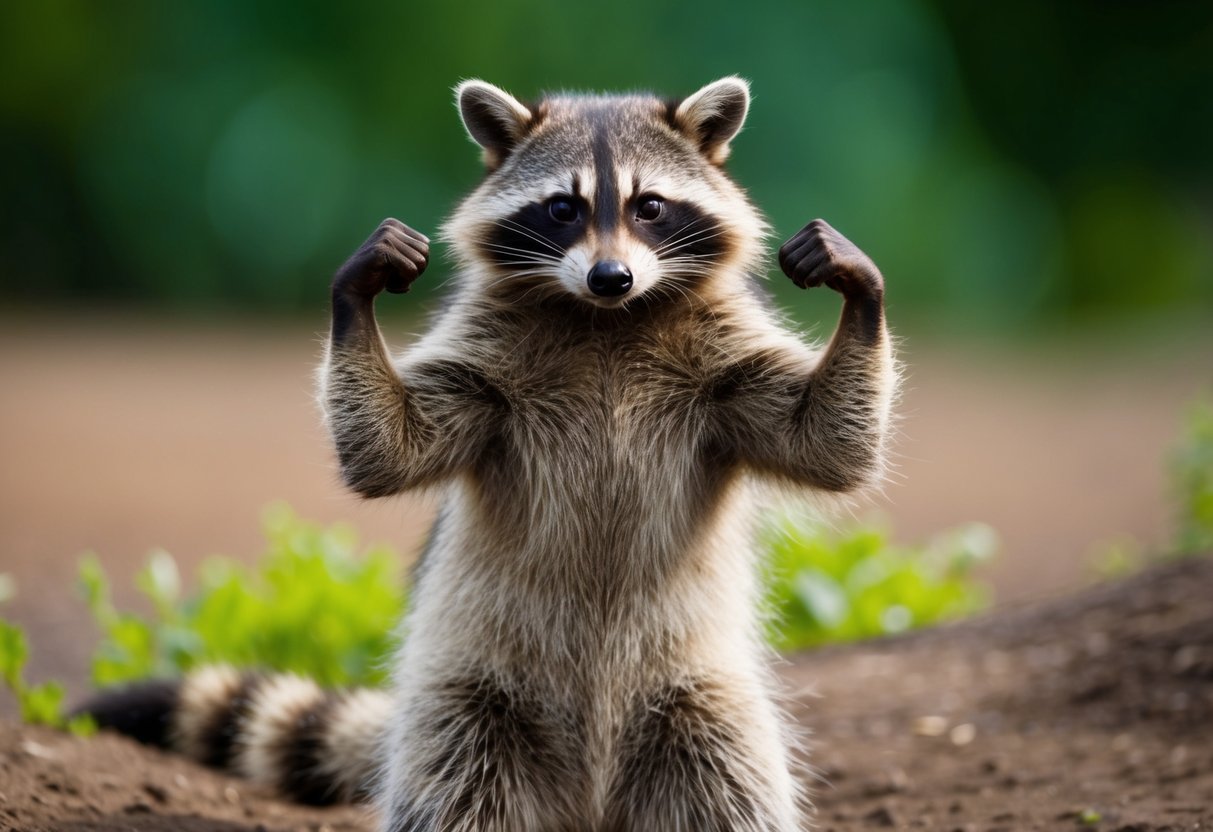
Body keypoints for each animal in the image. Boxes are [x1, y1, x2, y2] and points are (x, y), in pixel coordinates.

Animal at [80, 77, 896, 831]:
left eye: (650, 207)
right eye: (563, 208)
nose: (611, 276)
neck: (606, 321)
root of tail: (586, 809)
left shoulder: (723, 354)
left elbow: (827, 443)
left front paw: (862, 288)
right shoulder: (486, 353)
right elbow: (388, 450)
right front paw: (354, 293)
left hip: (699, 699)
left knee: (728, 784)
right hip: (467, 699)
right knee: (457, 785)